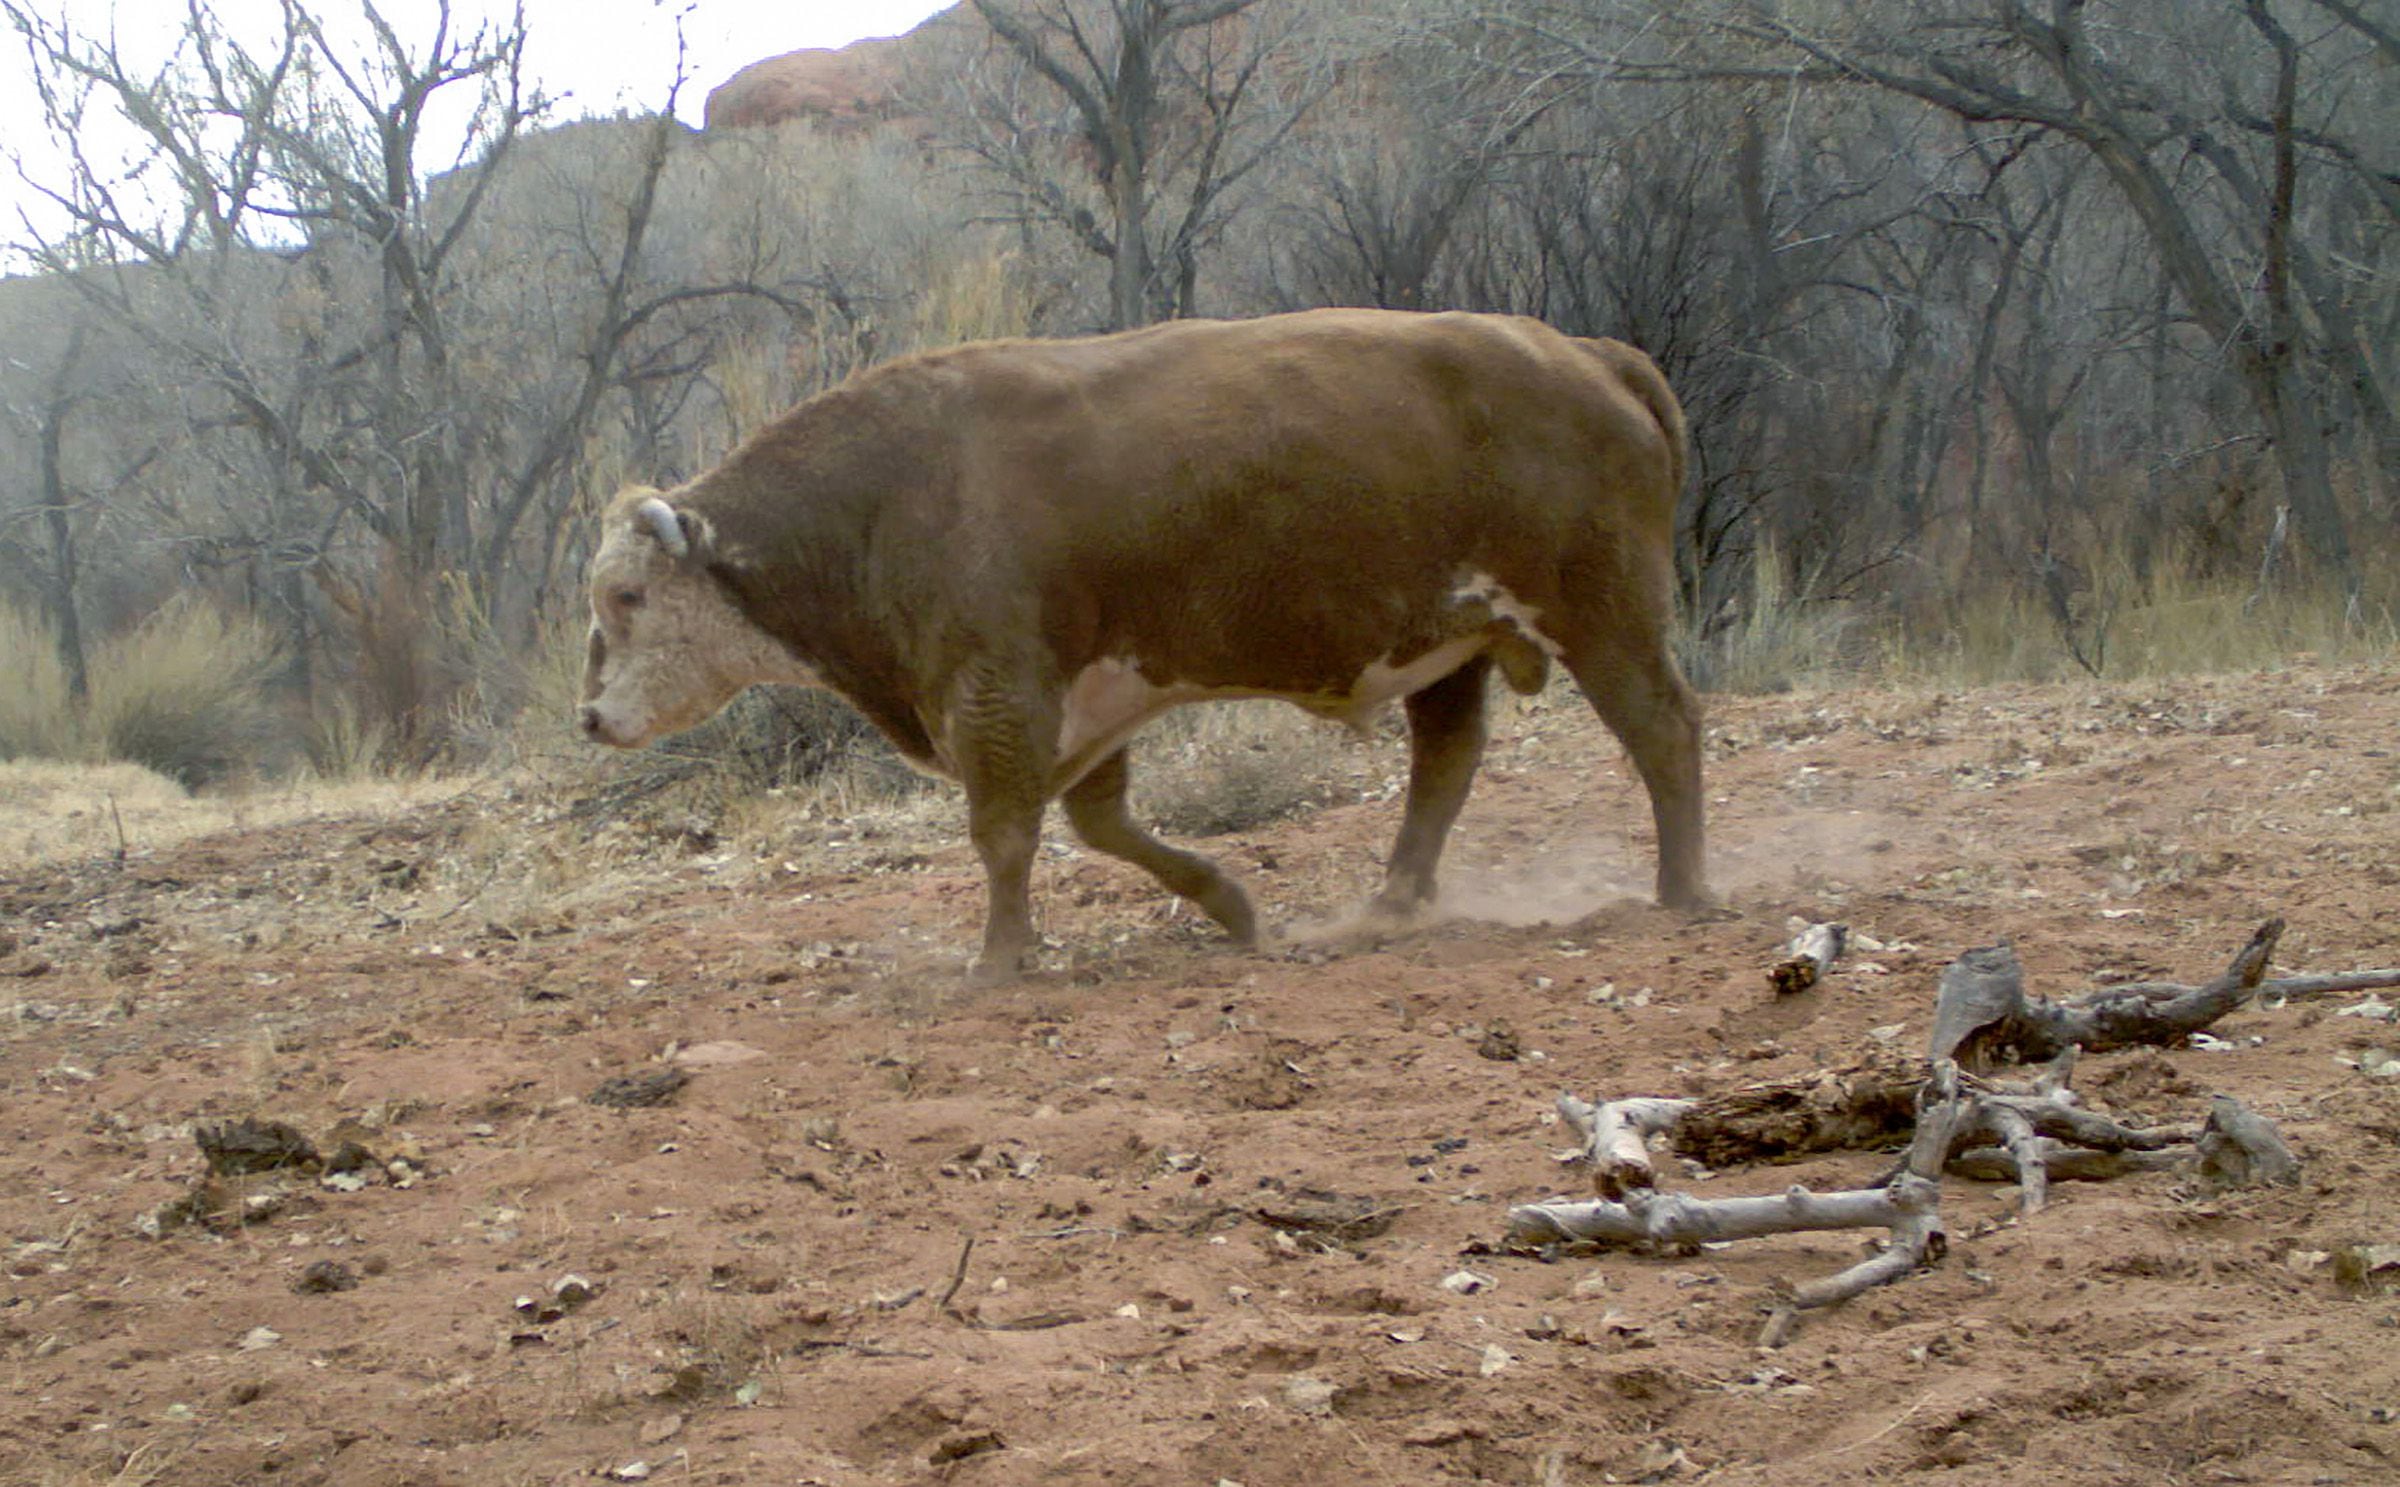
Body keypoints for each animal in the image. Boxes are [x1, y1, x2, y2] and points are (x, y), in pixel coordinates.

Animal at [579, 308, 1706, 983]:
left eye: (627, 594)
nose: (590, 718)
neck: (892, 491)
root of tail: (1588, 354)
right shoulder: (1089, 707)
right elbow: (1100, 824)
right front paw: (1235, 908)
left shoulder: (999, 697)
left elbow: (1005, 834)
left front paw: (997, 961)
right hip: (1455, 647)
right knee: (1445, 762)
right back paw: (1386, 907)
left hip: (1603, 618)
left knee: (1663, 729)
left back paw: (1682, 892)